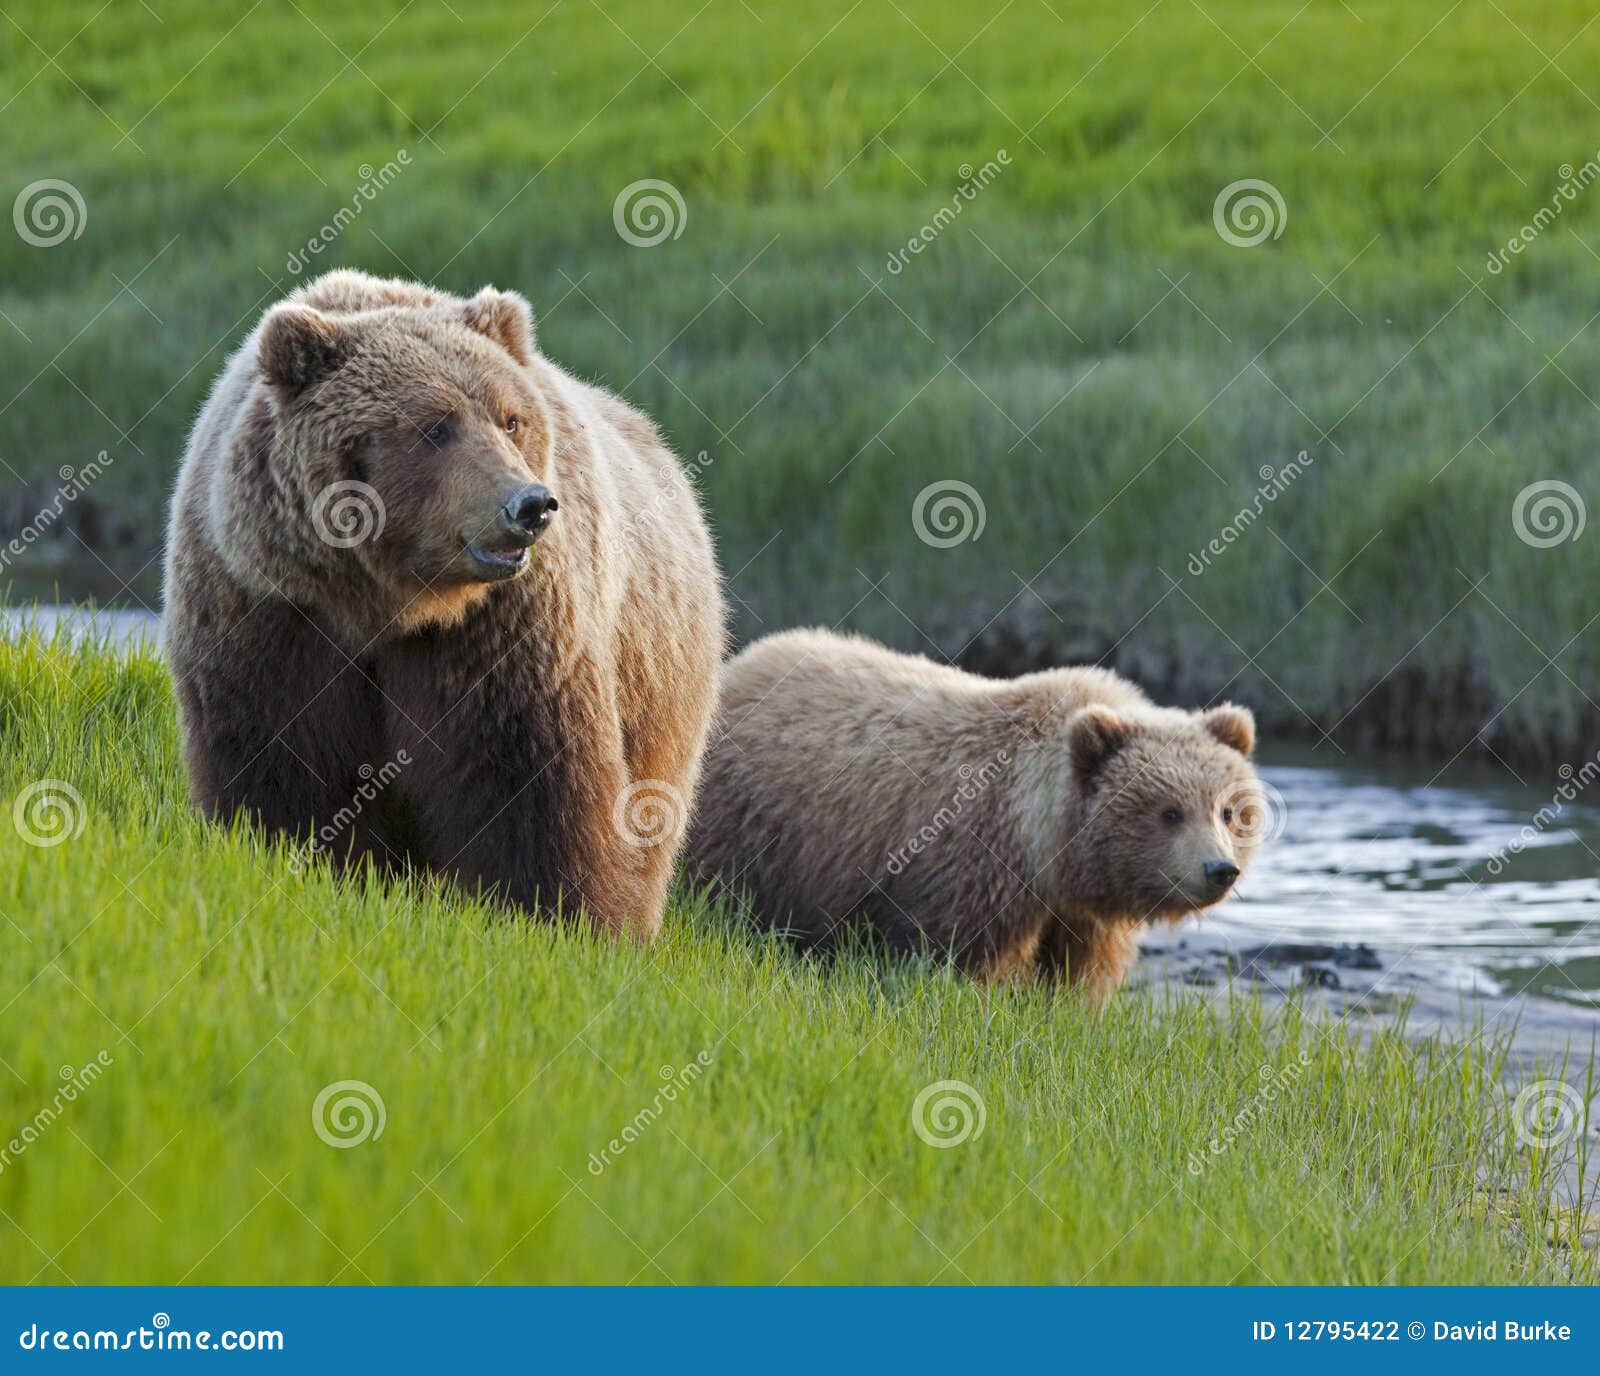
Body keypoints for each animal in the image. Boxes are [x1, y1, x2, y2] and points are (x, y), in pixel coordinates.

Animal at [164, 269, 724, 940]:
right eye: (436, 425)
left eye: (511, 419)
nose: (530, 505)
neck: (385, 602)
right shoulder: (271, 609)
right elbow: (283, 758)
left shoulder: (502, 630)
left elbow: (529, 777)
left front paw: (560, 915)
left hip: (658, 686)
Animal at [685, 629, 1262, 997]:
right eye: (1168, 811)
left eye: (1228, 811)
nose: (1219, 869)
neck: (1043, 845)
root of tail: (742, 662)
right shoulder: (969, 863)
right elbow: (946, 952)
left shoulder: (1076, 913)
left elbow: (1078, 971)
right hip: (751, 820)